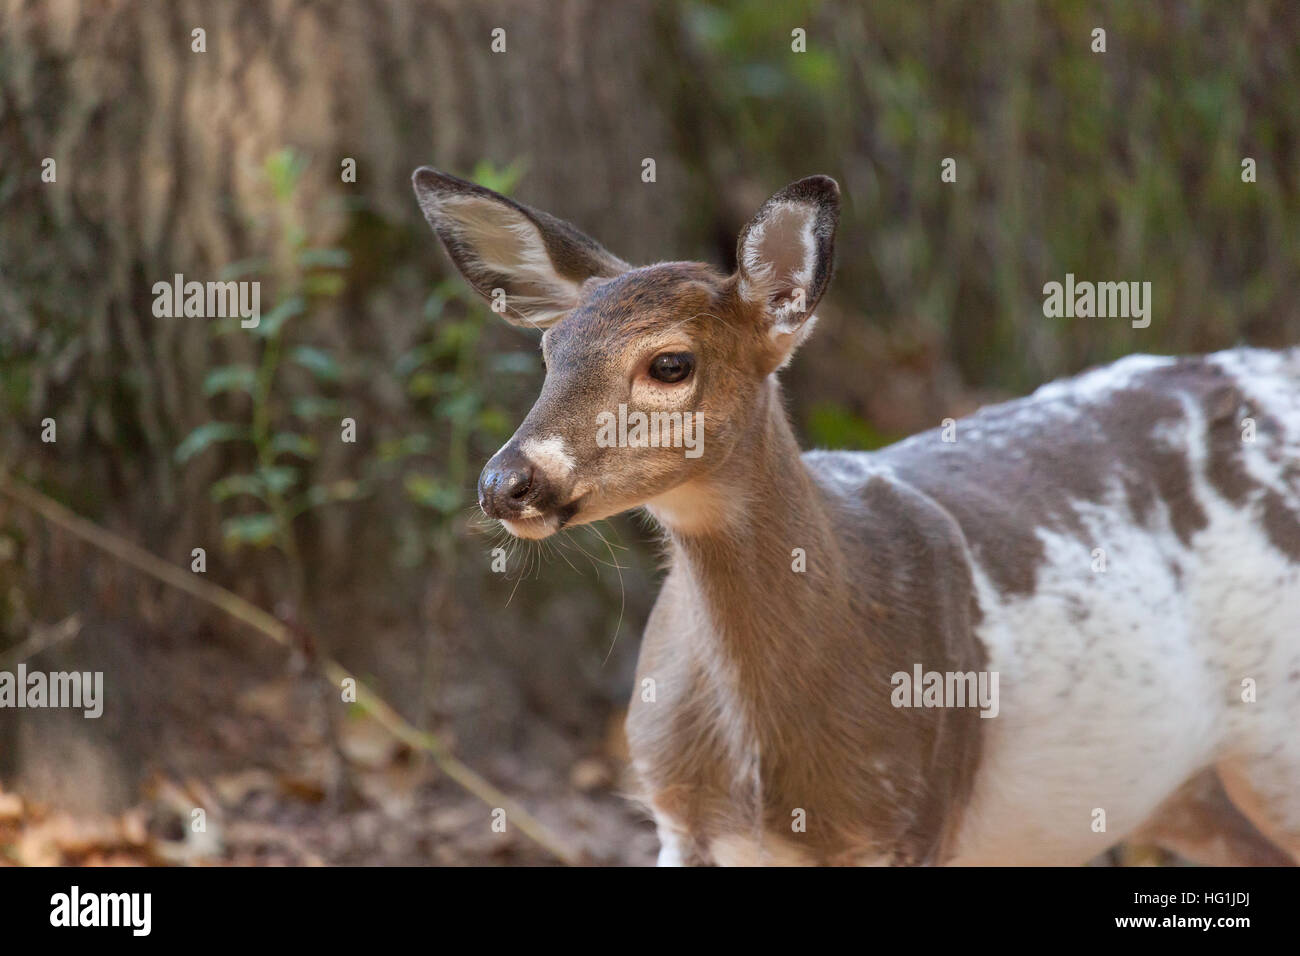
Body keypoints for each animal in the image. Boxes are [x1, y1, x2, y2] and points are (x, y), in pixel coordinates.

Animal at [412, 166, 1300, 866]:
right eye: (549, 353)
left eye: (669, 364)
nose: (506, 483)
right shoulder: (675, 813)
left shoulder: (912, 812)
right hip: (1193, 791)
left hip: (1277, 736)